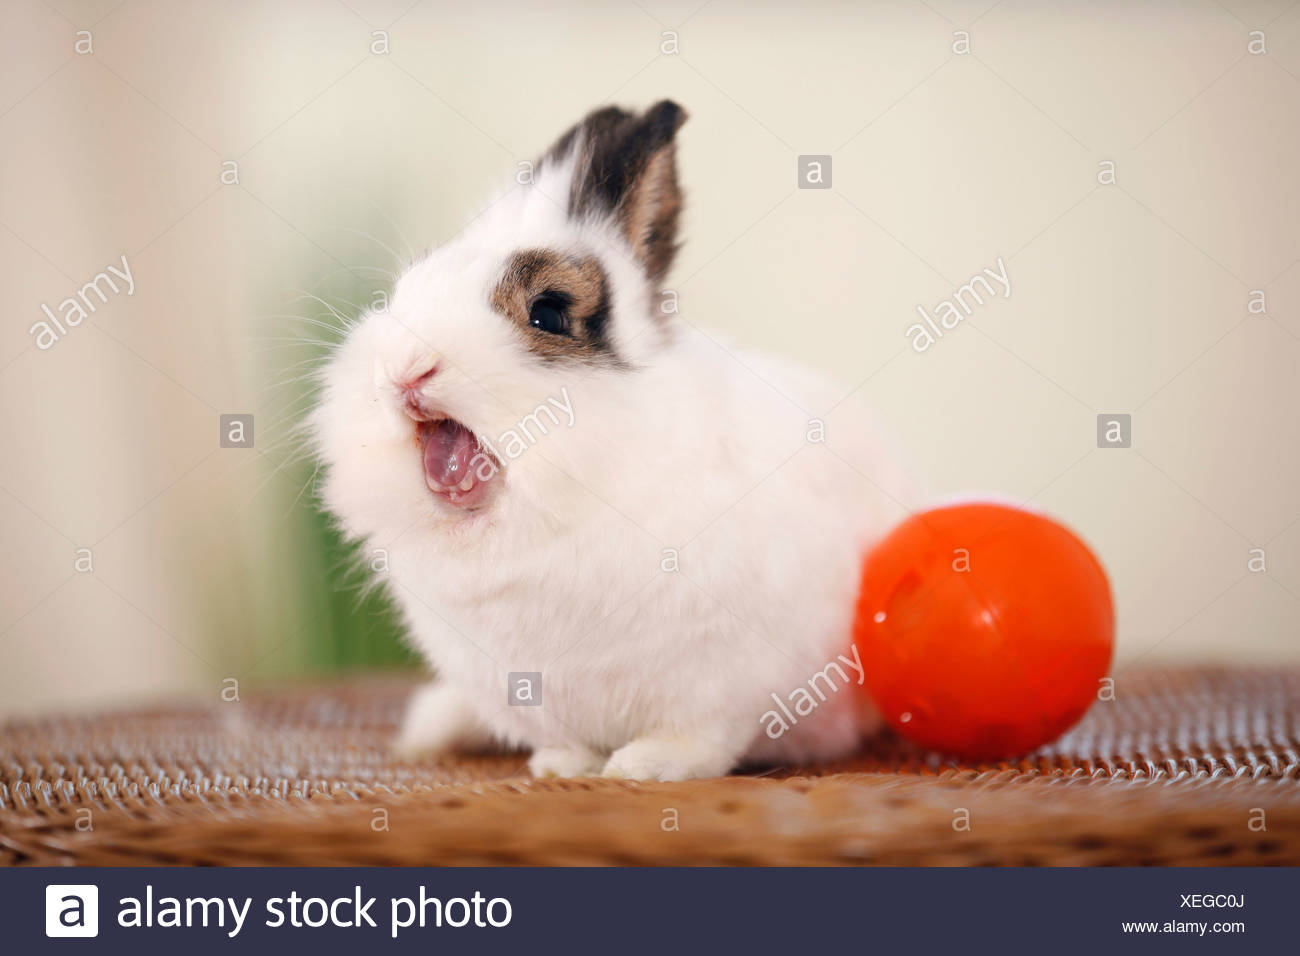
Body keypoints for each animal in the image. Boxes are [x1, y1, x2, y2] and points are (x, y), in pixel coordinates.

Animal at [310, 100, 914, 781]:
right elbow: (565, 742)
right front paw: (559, 767)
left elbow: (701, 737)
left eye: (548, 312)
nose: (406, 367)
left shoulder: (723, 684)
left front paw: (643, 768)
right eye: (402, 292)